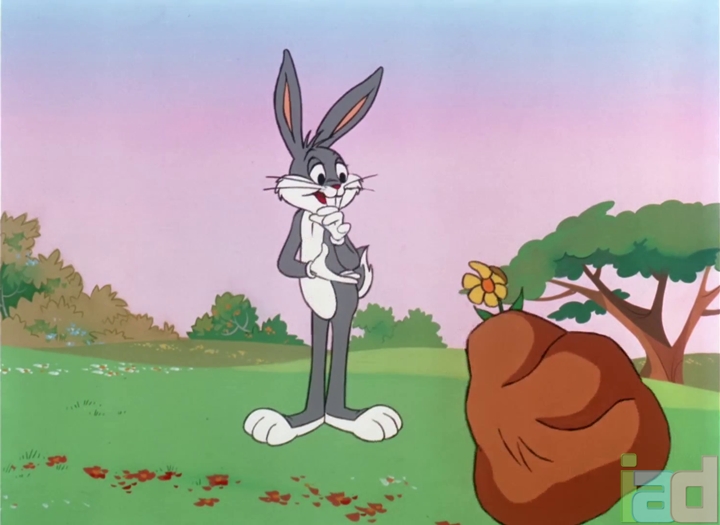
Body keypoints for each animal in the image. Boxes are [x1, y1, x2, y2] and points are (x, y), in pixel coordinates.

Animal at [243, 50, 403, 446]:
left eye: (342, 172)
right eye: (317, 174)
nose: (336, 186)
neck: (318, 217)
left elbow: (343, 253)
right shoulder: (296, 229)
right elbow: (286, 263)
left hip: (343, 308)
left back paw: (345, 417)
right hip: (318, 313)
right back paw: (313, 418)